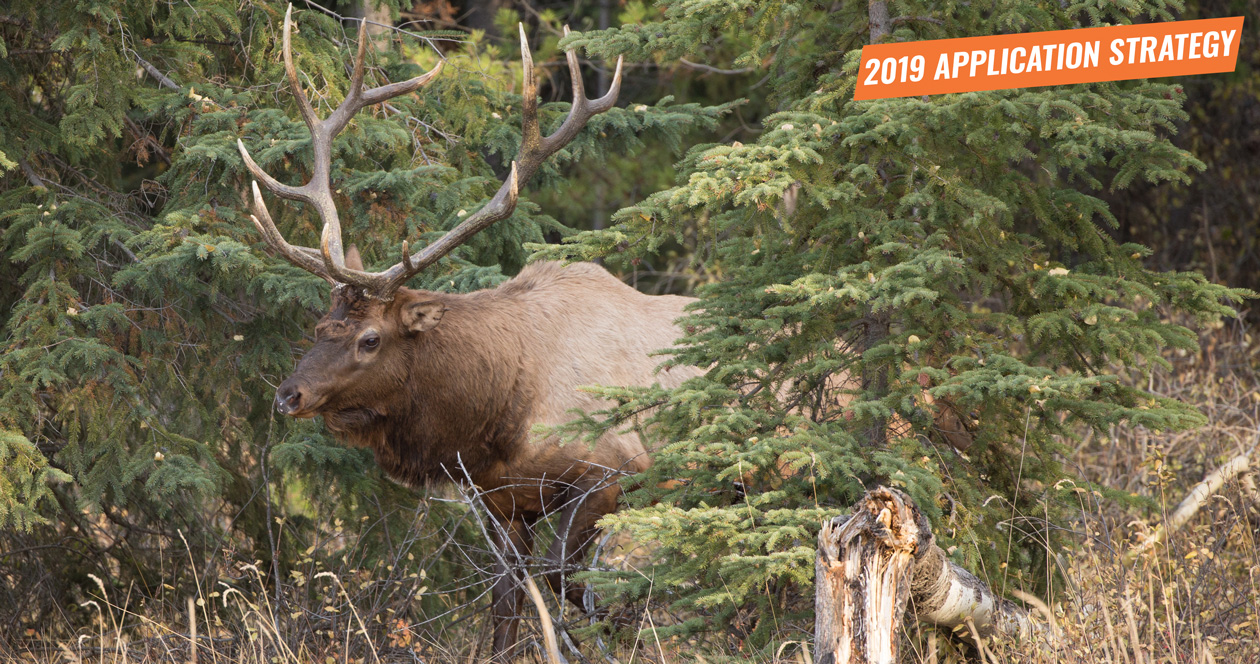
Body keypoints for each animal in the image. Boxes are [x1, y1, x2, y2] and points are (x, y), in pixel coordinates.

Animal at [236, 6, 698, 659]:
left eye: (370, 338)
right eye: (320, 326)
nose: (287, 395)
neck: (497, 412)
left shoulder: (615, 468)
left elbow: (565, 577)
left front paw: (619, 619)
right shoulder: (500, 502)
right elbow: (507, 606)